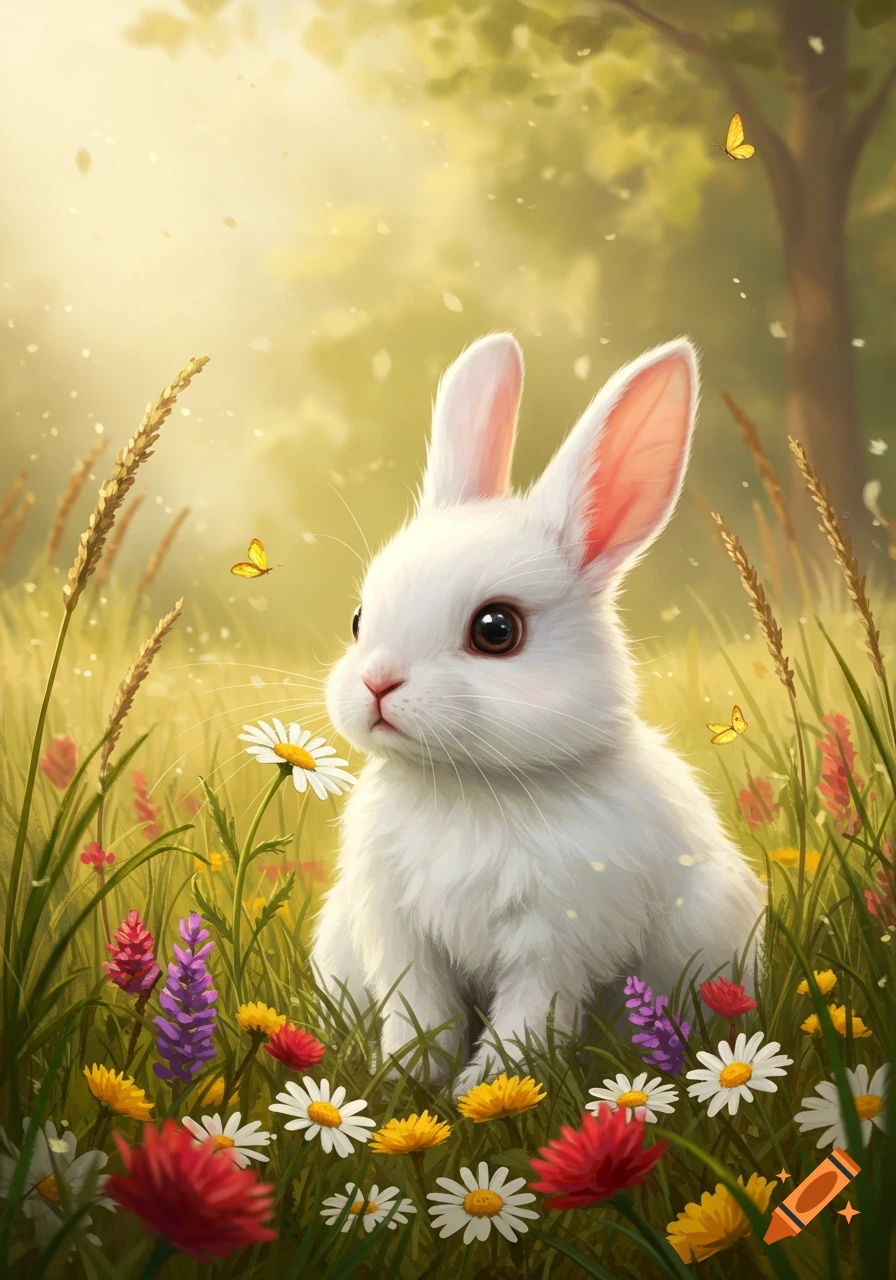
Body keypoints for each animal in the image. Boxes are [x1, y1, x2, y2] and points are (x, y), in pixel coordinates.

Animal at [310, 333, 765, 1096]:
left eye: (496, 630)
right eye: (357, 620)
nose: (376, 685)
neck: (465, 788)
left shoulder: (557, 943)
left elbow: (526, 1021)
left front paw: (486, 1095)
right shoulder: (400, 935)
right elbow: (420, 1016)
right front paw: (404, 1084)